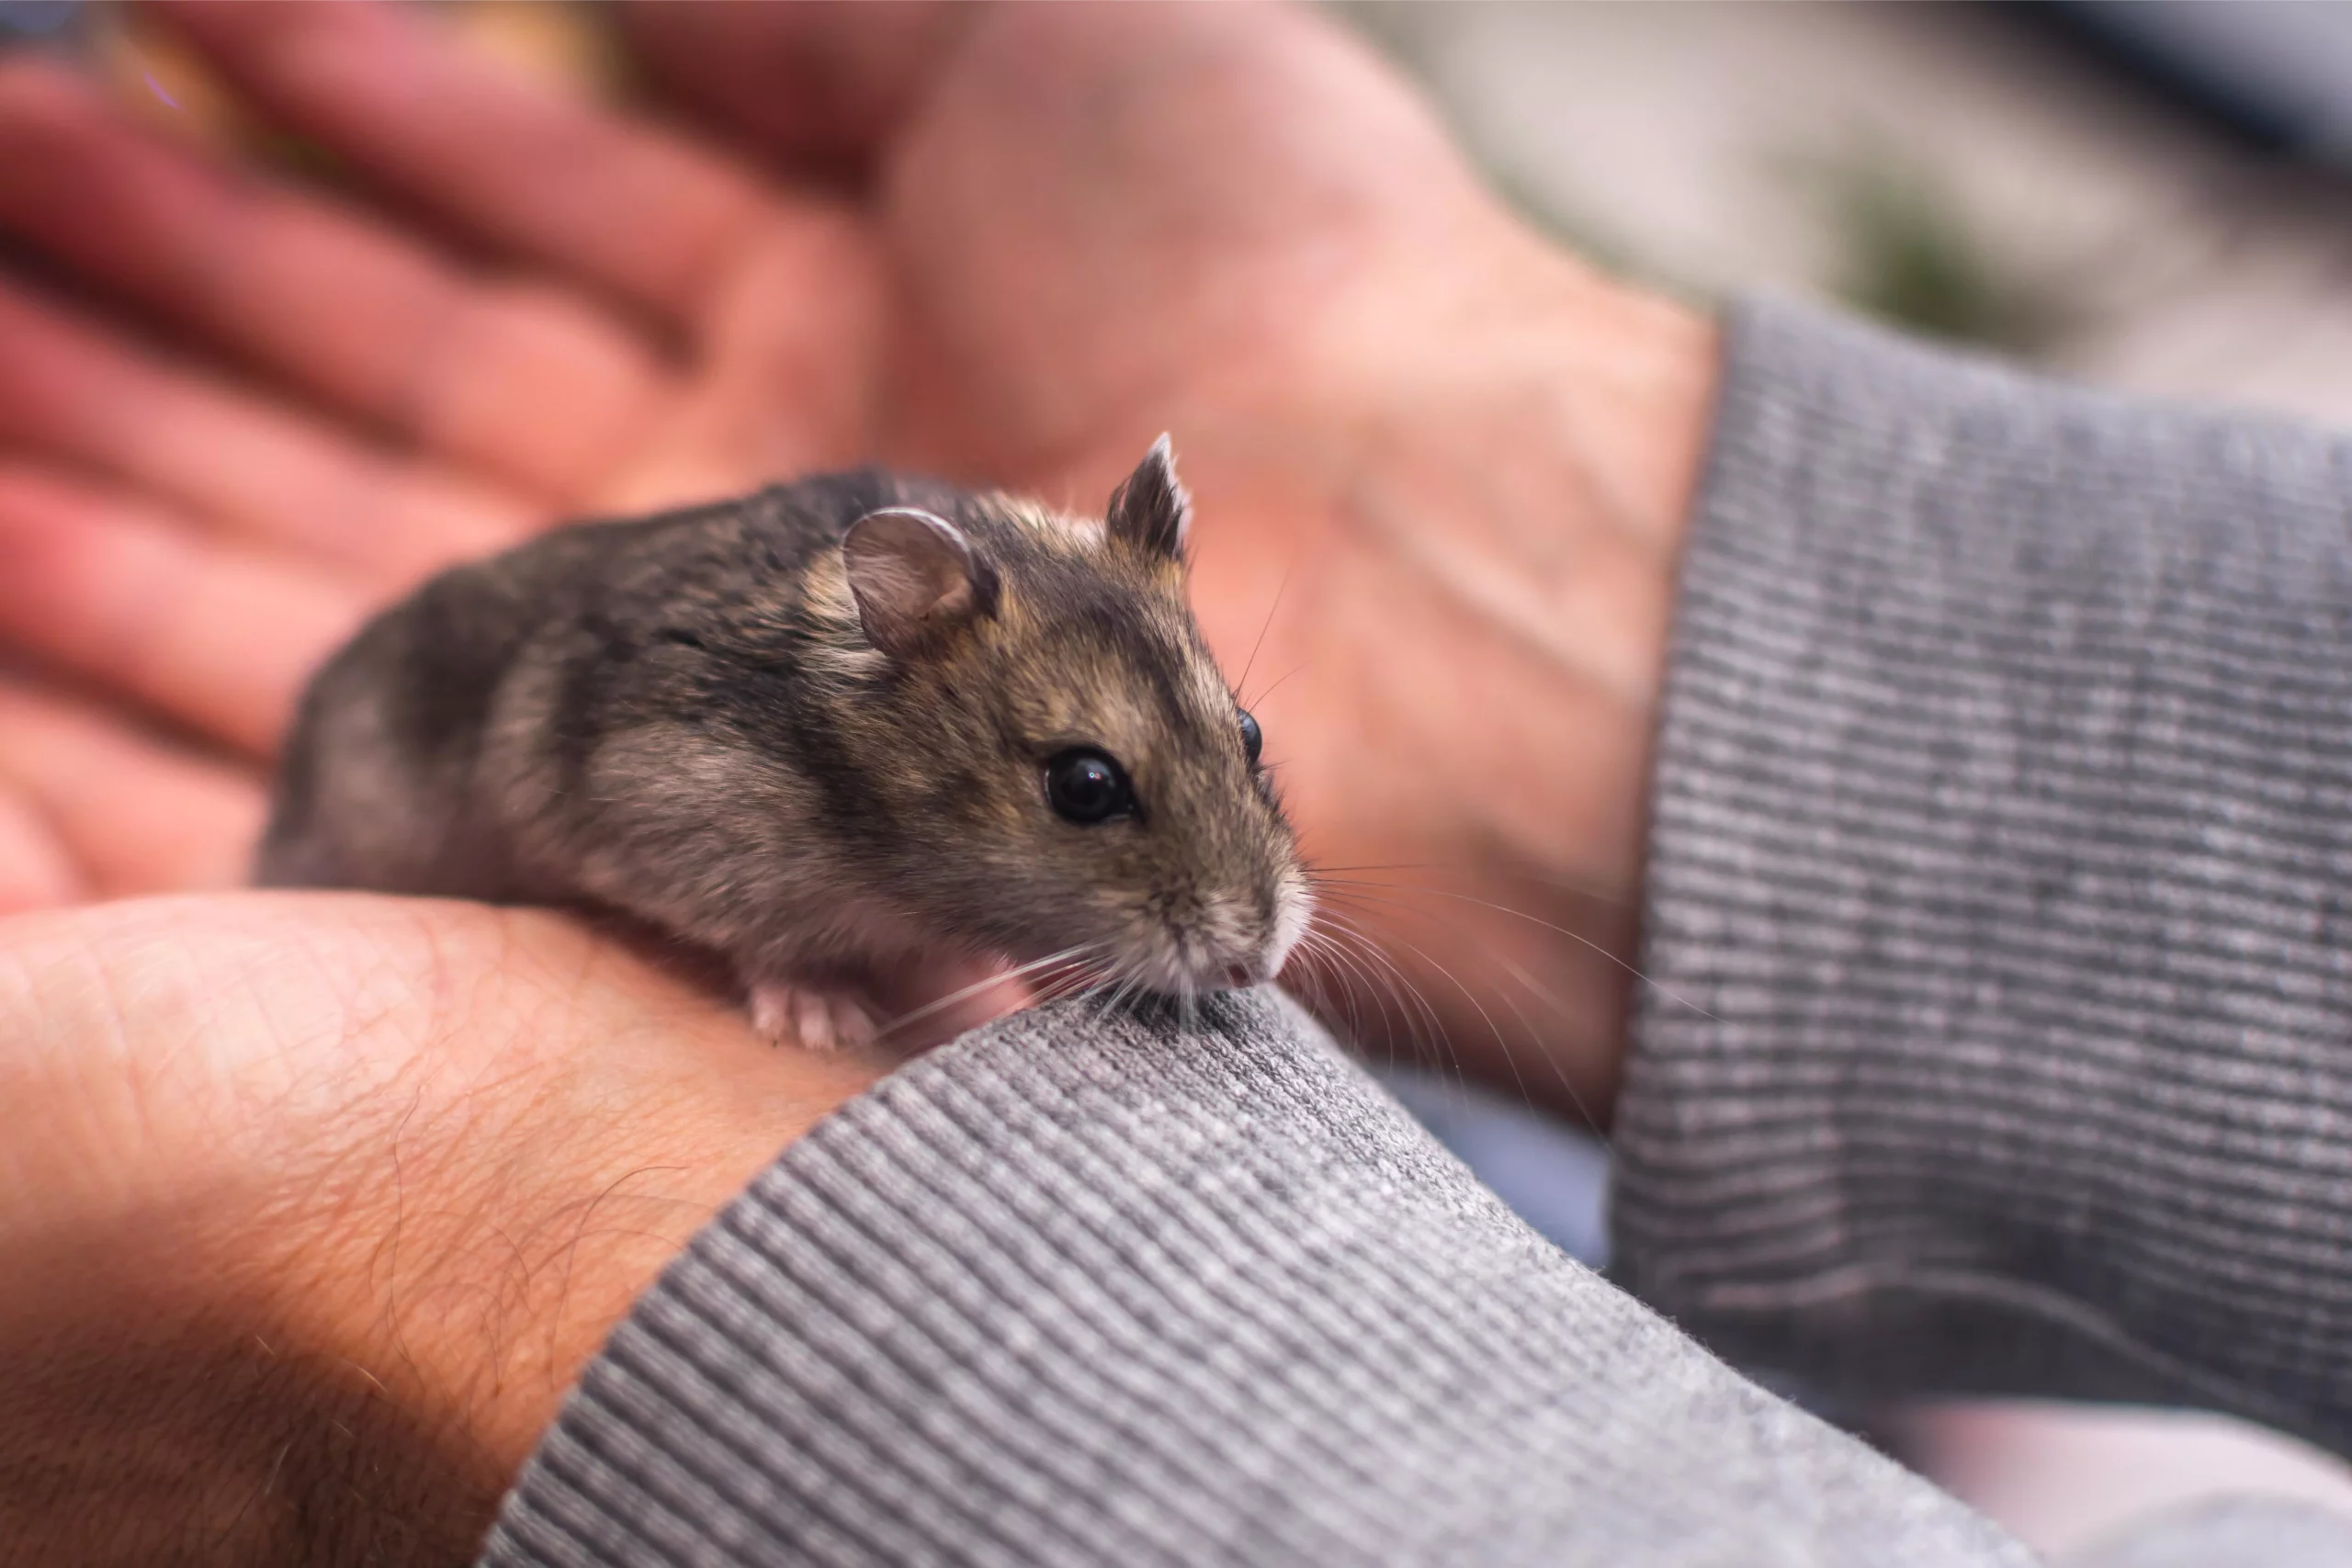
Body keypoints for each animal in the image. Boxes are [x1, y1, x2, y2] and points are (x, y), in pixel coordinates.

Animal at [256, 439, 1313, 1050]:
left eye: (1250, 731)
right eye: (1085, 785)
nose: (1255, 965)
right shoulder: (675, 811)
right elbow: (769, 945)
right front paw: (824, 1022)